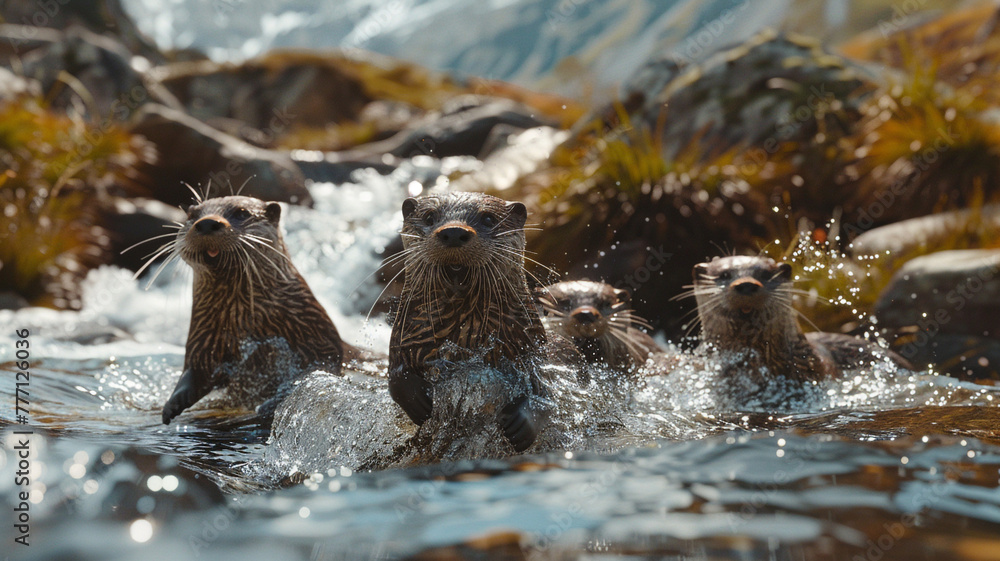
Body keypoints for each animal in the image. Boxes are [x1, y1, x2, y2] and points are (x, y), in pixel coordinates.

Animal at [158, 195, 352, 425]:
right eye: (192, 215)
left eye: (242, 212)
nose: (206, 223)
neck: (246, 322)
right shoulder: (203, 340)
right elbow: (194, 372)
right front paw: (171, 405)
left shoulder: (320, 341)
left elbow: (313, 371)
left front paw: (269, 404)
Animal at [388, 192, 547, 452]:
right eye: (429, 216)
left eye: (488, 218)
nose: (453, 232)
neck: (466, 337)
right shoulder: (403, 335)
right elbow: (395, 375)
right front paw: (417, 401)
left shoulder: (533, 345)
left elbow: (544, 389)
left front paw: (521, 423)